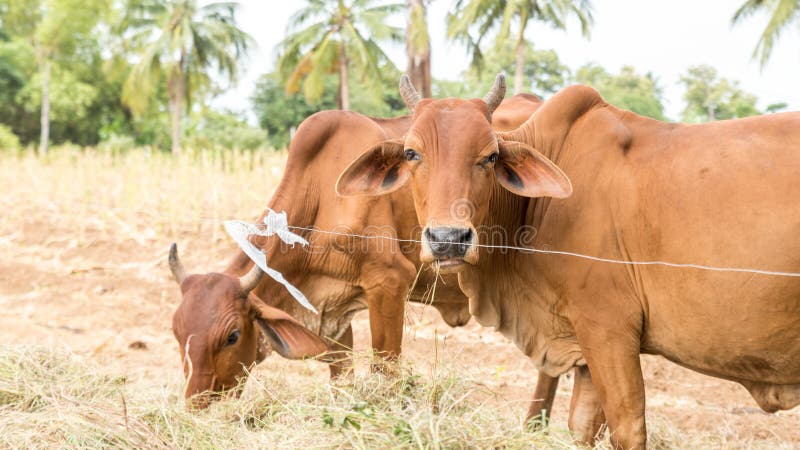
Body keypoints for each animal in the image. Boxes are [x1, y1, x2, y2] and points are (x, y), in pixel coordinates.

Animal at [169, 95, 575, 421]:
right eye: (177, 332)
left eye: (233, 335)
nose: (196, 408)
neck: (321, 194)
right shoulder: (332, 309)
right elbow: (342, 377)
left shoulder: (389, 284)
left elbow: (386, 370)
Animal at [335, 74, 800, 449]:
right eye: (413, 154)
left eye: (489, 156)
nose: (448, 239)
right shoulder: (585, 344)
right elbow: (582, 426)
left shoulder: (609, 329)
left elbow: (628, 428)